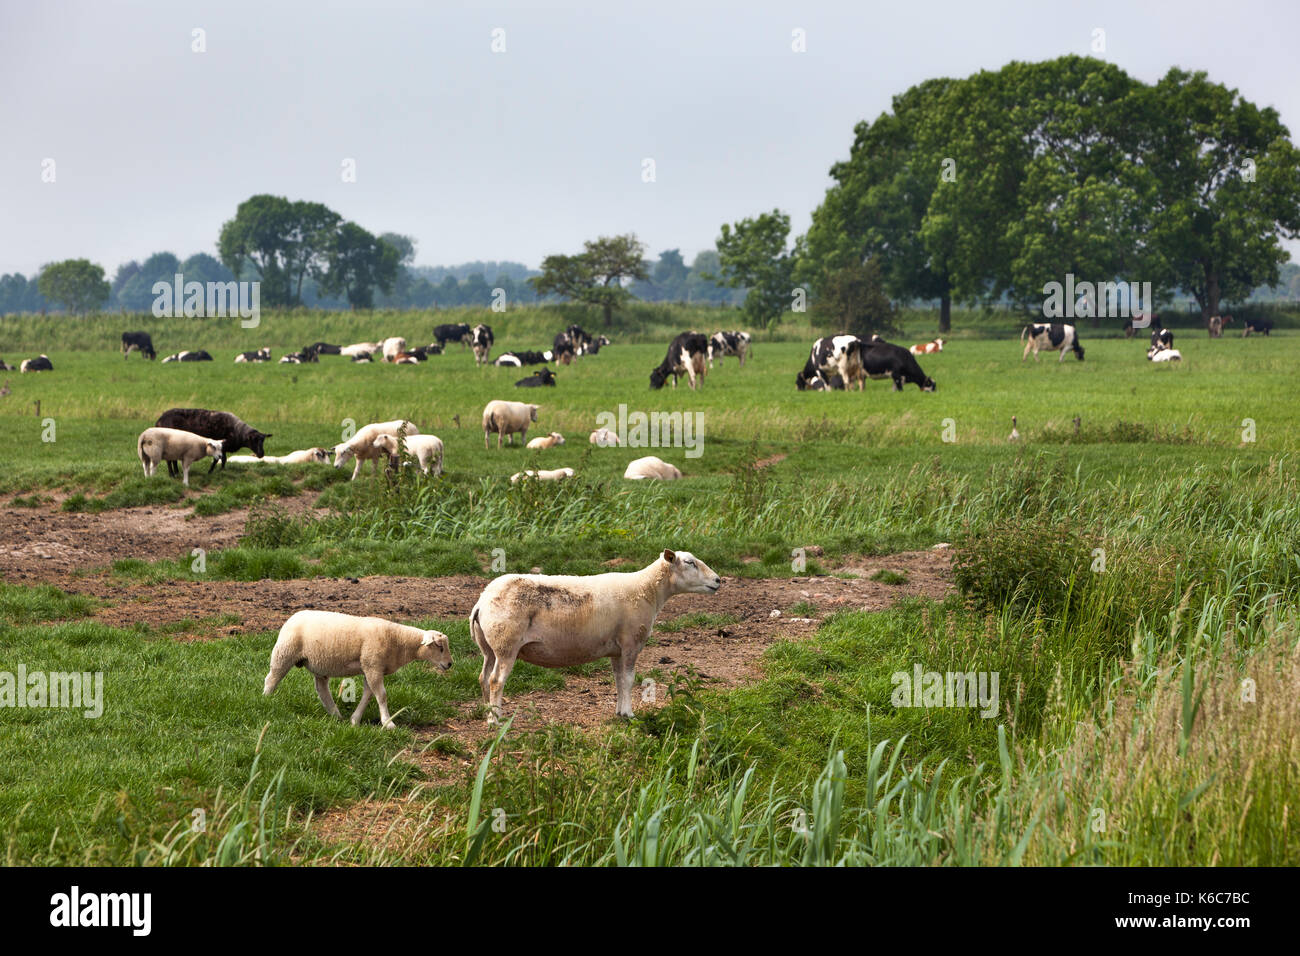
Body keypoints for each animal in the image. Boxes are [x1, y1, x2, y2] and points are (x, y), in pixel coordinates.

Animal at [263, 610, 452, 728]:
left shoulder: (371, 668)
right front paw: (388, 722)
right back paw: (267, 700)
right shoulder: (373, 665)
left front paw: (355, 720)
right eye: (440, 647)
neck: (398, 640)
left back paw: (335, 715)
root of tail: (293, 616)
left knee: (321, 688)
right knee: (272, 678)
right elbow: (381, 695)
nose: (450, 664)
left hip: (319, 663)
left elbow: (369, 695)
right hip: (284, 653)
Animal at [470, 549, 721, 721]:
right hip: (506, 645)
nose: (718, 580)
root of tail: (482, 601)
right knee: (496, 680)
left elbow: (619, 680)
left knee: (483, 677)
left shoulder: (616, 650)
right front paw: (629, 714)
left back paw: (486, 712)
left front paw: (620, 712)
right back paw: (495, 720)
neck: (647, 590)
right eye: (689, 562)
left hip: (489, 648)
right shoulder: (630, 643)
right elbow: (629, 680)